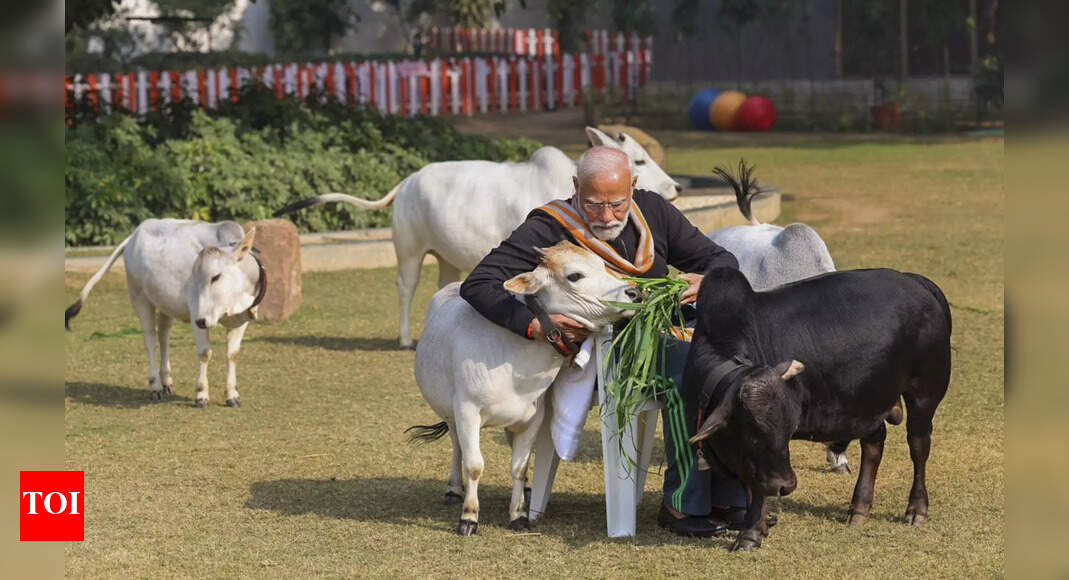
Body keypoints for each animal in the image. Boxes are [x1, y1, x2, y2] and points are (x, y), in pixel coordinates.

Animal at [64, 219, 266, 408]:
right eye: (194, 277)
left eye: (216, 277)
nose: (201, 321)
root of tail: (134, 235)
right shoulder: (197, 314)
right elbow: (204, 353)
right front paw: (201, 395)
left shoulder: (242, 319)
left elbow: (232, 354)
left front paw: (232, 395)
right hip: (140, 298)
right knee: (150, 341)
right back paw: (155, 386)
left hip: (165, 304)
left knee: (164, 336)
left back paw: (166, 381)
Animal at [274, 127, 679, 349]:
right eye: (638, 160)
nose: (675, 187)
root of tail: (406, 182)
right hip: (409, 250)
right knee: (405, 287)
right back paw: (405, 339)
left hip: (446, 259)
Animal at [406, 241, 639, 536]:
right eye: (574, 276)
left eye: (602, 265)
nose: (633, 292)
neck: (513, 359)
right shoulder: (467, 411)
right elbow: (474, 465)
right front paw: (469, 517)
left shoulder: (533, 418)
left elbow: (519, 467)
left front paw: (518, 515)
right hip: (450, 414)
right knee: (457, 446)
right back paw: (453, 489)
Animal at [685, 266, 951, 551]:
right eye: (753, 435)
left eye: (787, 432)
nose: (787, 485)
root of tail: (915, 280)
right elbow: (752, 482)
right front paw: (760, 525)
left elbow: (758, 488)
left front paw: (751, 534)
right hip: (868, 399)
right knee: (874, 443)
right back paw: (859, 508)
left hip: (924, 395)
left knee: (918, 446)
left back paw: (917, 509)